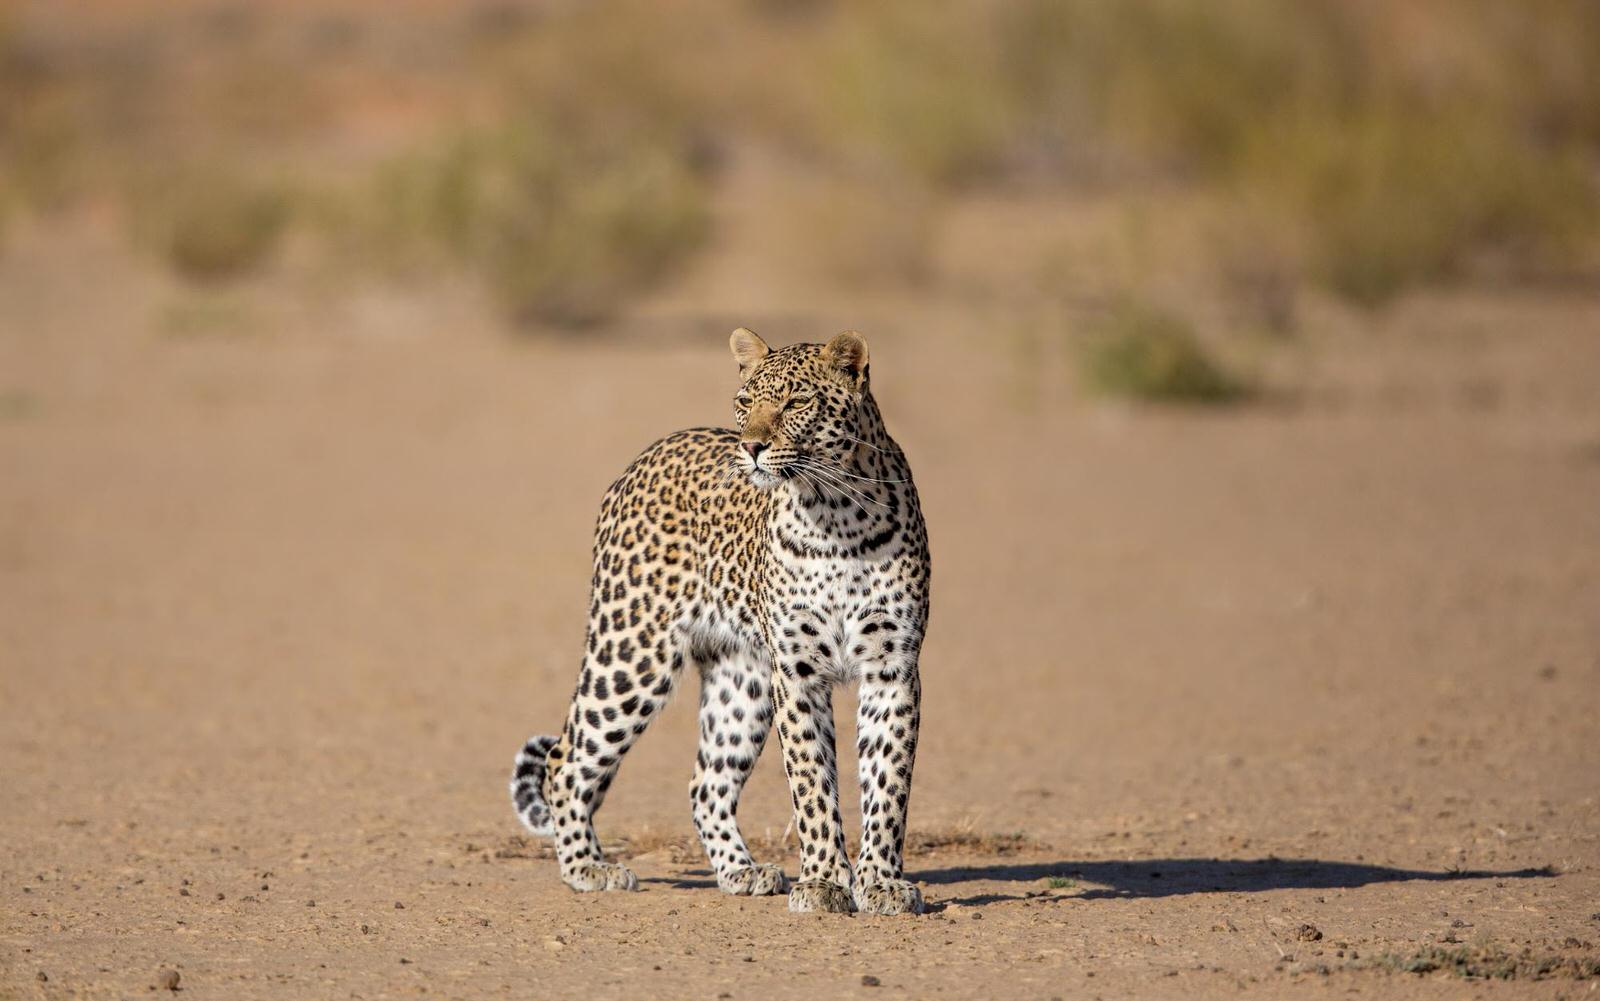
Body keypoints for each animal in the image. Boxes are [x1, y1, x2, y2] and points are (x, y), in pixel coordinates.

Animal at [508, 328, 930, 915]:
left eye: (796, 403)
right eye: (746, 401)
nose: (751, 448)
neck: (836, 516)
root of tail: (646, 455)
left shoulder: (892, 668)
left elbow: (888, 782)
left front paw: (881, 882)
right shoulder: (797, 673)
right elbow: (812, 784)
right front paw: (825, 881)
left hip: (741, 677)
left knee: (706, 783)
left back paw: (741, 871)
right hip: (632, 654)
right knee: (564, 760)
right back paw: (588, 868)